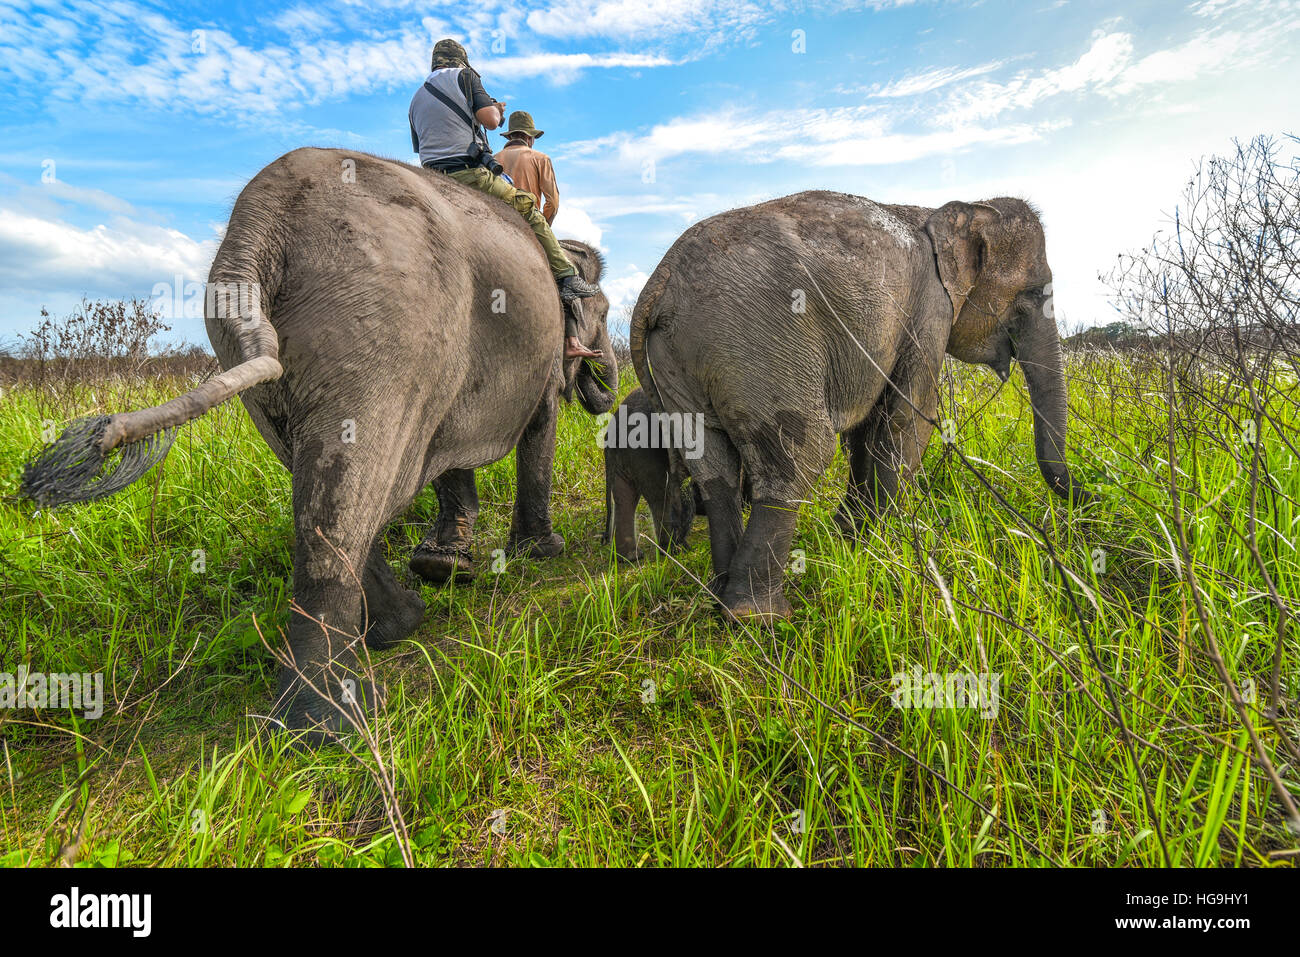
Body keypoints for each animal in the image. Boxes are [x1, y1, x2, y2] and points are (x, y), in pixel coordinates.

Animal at [629, 190, 1090, 621]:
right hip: (756, 344)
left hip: (676, 359)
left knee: (713, 467)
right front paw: (891, 546)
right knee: (803, 455)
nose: (1089, 497)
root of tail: (660, 281)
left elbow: (866, 429)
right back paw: (758, 617)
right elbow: (909, 419)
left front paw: (851, 536)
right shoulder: (930, 311)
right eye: (1031, 296)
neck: (949, 210)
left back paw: (718, 595)